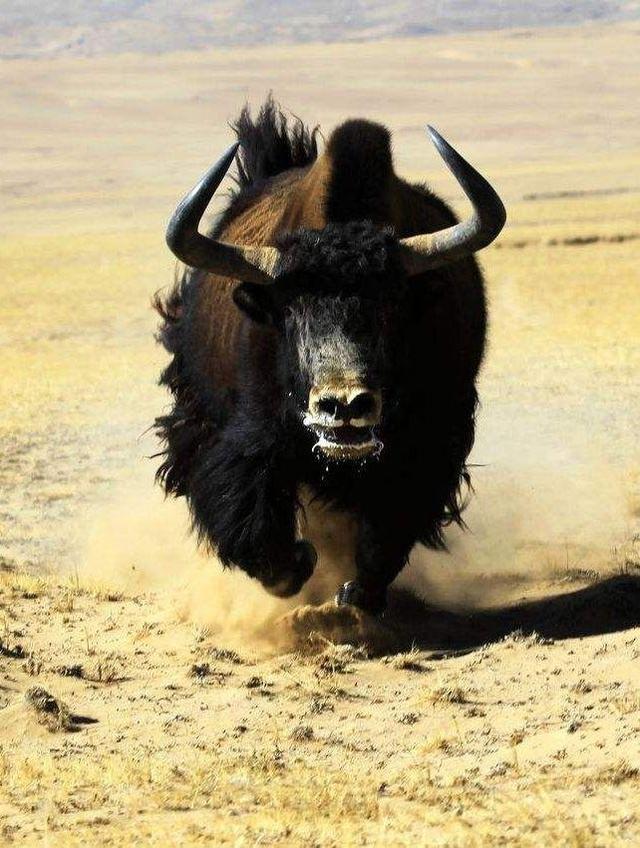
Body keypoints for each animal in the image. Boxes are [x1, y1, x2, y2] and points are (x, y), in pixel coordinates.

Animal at [155, 97, 505, 614]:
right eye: (291, 309)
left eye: (391, 305)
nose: (343, 406)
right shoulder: (245, 440)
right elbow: (259, 528)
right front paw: (304, 560)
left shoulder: (429, 441)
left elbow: (389, 529)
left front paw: (356, 592)